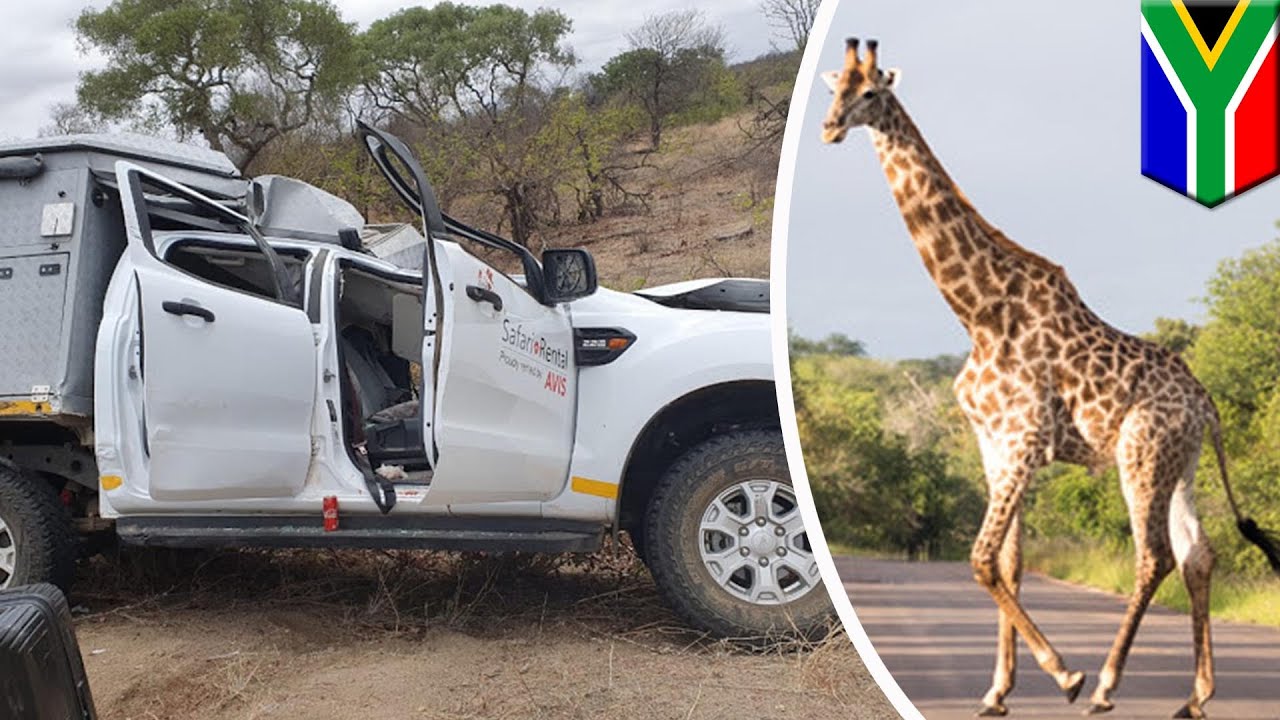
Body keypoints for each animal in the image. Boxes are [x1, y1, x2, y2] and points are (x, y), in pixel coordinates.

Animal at [817, 37, 1280, 719]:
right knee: (1199, 553)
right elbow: (1008, 564)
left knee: (1154, 556)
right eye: (835, 90)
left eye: (871, 92)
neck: (978, 311)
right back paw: (1195, 696)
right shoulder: (993, 444)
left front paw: (1064, 675)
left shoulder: (1024, 439)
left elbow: (982, 560)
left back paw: (1108, 684)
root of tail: (1206, 405)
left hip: (1140, 454)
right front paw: (996, 692)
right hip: (1182, 462)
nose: (828, 128)